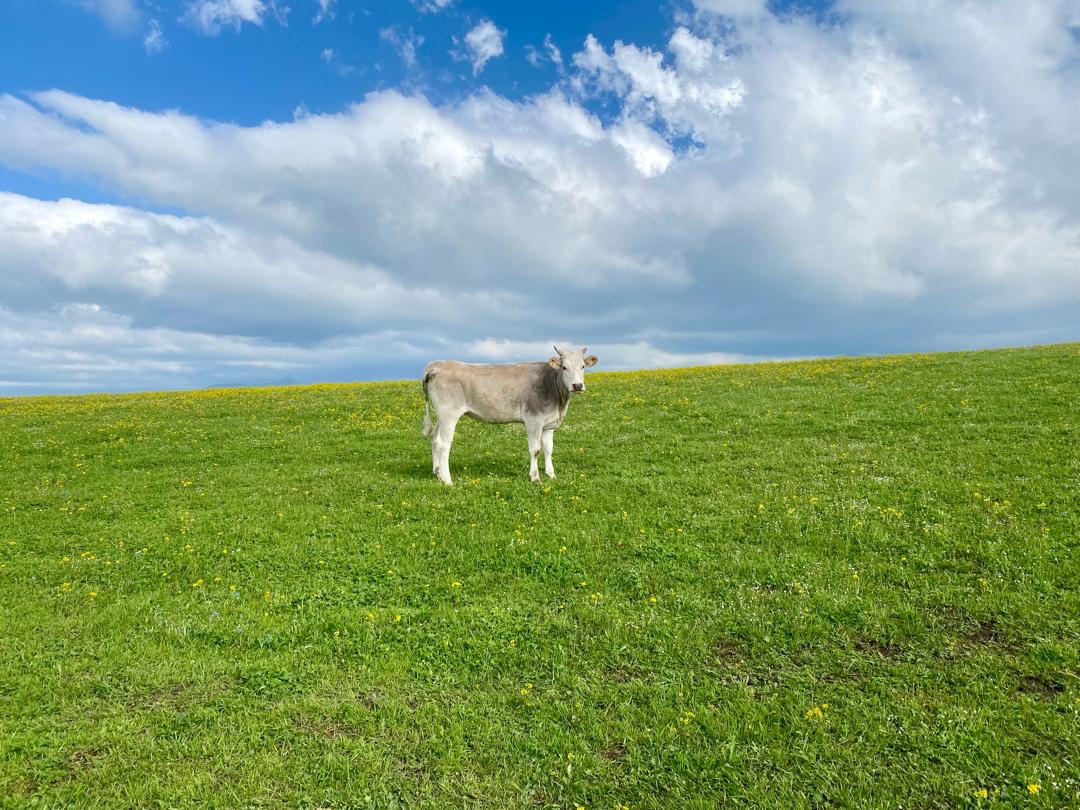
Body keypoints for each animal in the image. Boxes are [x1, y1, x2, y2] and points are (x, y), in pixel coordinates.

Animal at [421, 346, 599, 485]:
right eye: (564, 367)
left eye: (583, 366)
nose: (577, 385)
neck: (559, 402)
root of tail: (437, 364)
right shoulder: (533, 420)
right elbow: (535, 449)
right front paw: (535, 477)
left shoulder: (548, 424)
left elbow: (549, 449)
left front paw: (551, 474)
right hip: (449, 414)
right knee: (444, 444)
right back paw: (447, 480)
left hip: (441, 416)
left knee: (435, 439)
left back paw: (437, 473)